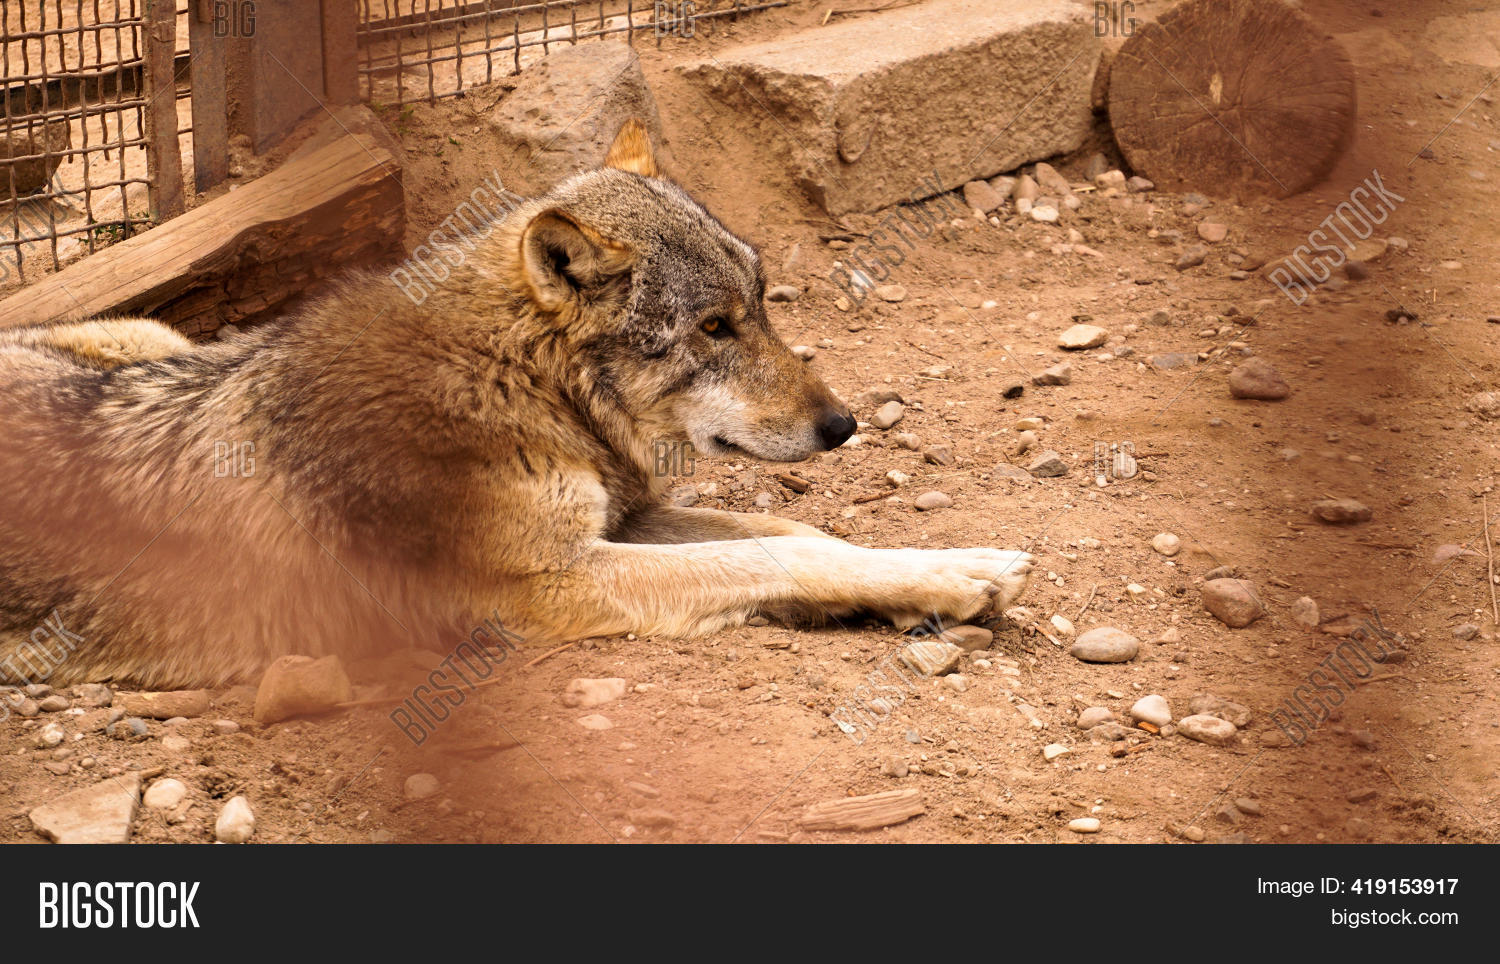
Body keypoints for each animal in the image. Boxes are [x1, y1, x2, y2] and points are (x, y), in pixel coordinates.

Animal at [0, 120, 1033, 688]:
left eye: (763, 300)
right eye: (714, 327)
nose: (842, 425)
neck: (519, 386)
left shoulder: (621, 521)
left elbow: (804, 537)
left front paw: (938, 570)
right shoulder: (553, 583)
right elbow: (774, 555)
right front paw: (950, 579)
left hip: (156, 338)